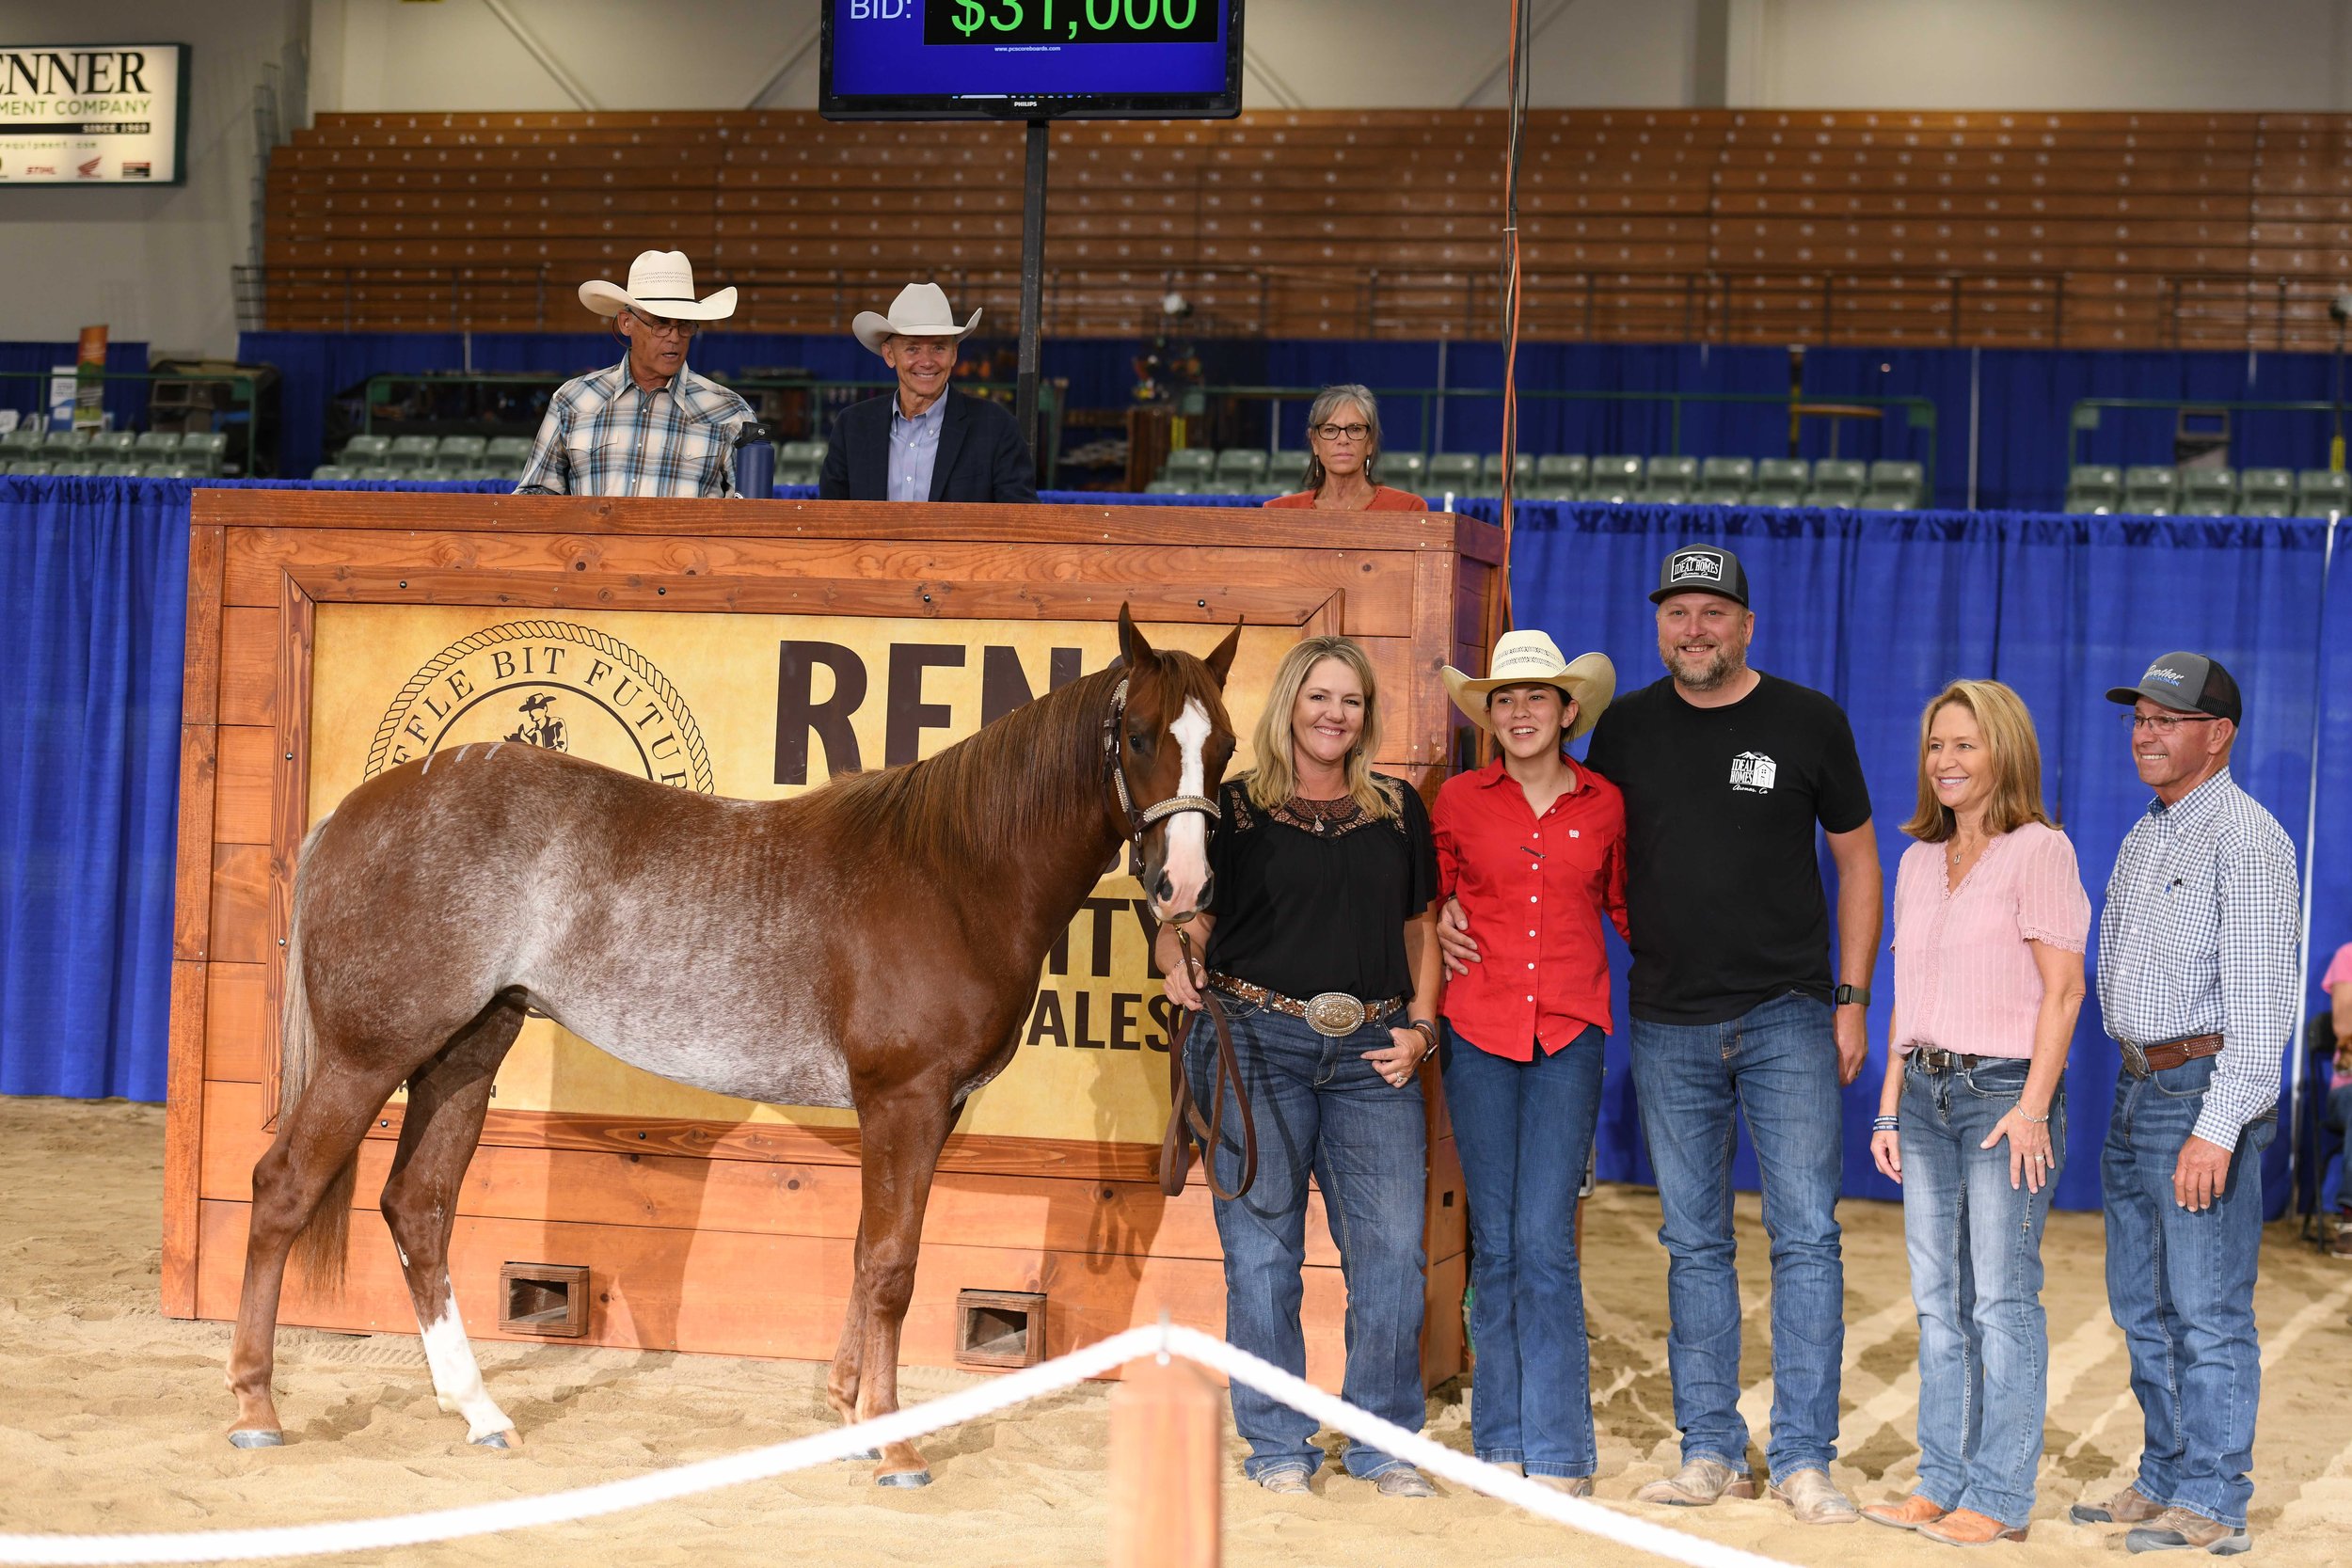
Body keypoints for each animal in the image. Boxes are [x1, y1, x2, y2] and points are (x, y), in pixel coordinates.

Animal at [225, 607, 1241, 1487]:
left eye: (1224, 747)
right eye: (1139, 735)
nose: (1187, 886)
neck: (952, 871)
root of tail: (351, 813)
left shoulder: (927, 1109)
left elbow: (870, 1251)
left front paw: (850, 1415)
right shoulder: (903, 1097)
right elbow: (893, 1267)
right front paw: (895, 1447)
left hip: (467, 1051)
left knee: (418, 1208)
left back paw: (479, 1411)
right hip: (369, 1055)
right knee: (283, 1189)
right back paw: (255, 1408)